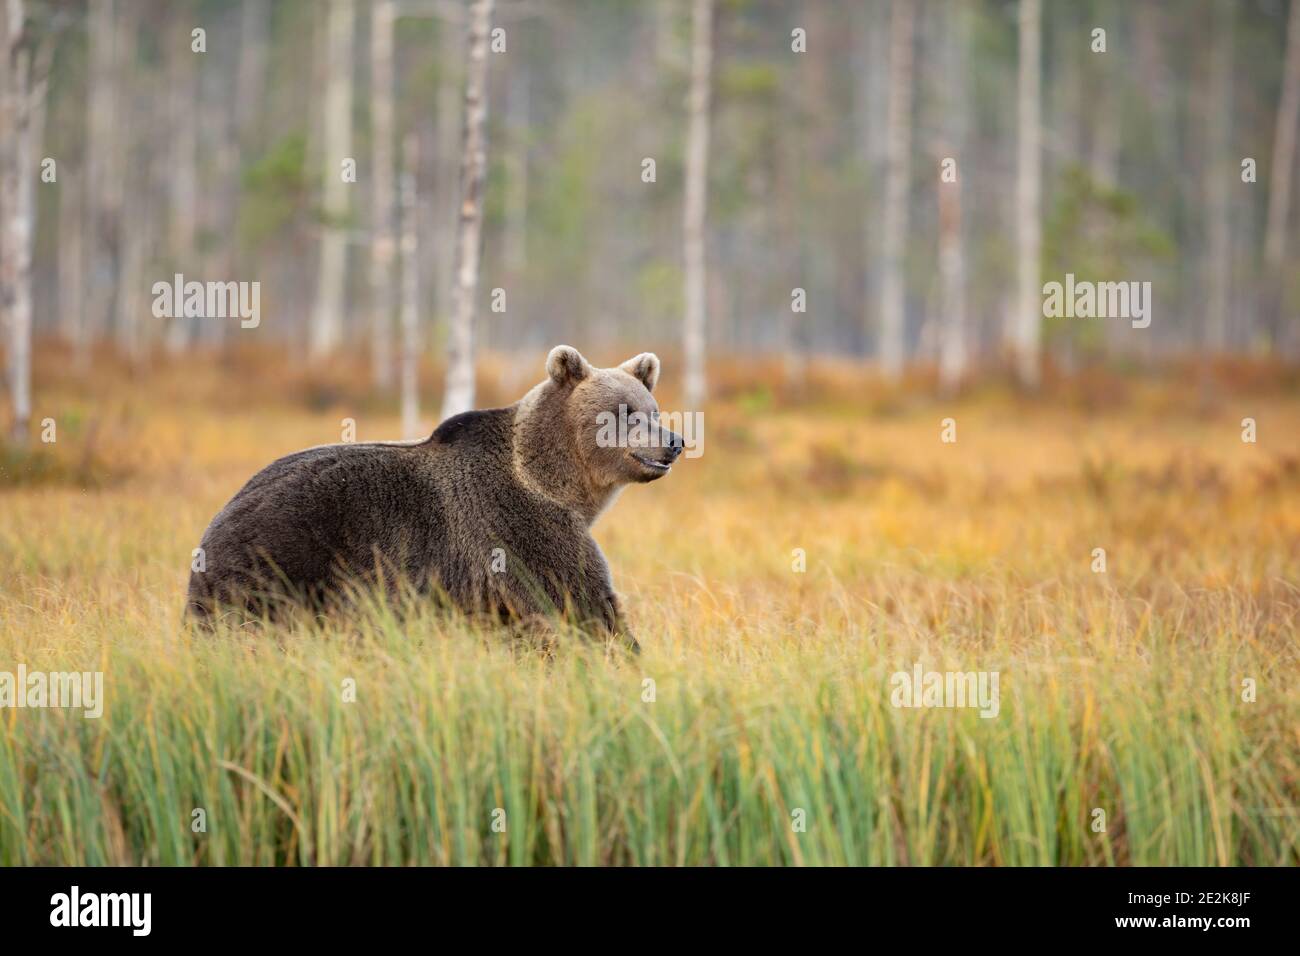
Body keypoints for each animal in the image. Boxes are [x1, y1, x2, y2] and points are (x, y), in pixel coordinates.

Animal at [186, 346, 684, 650]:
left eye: (653, 411)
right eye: (623, 413)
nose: (674, 441)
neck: (558, 482)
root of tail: (215, 523)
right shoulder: (519, 526)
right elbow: (580, 599)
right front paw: (624, 648)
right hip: (282, 558)